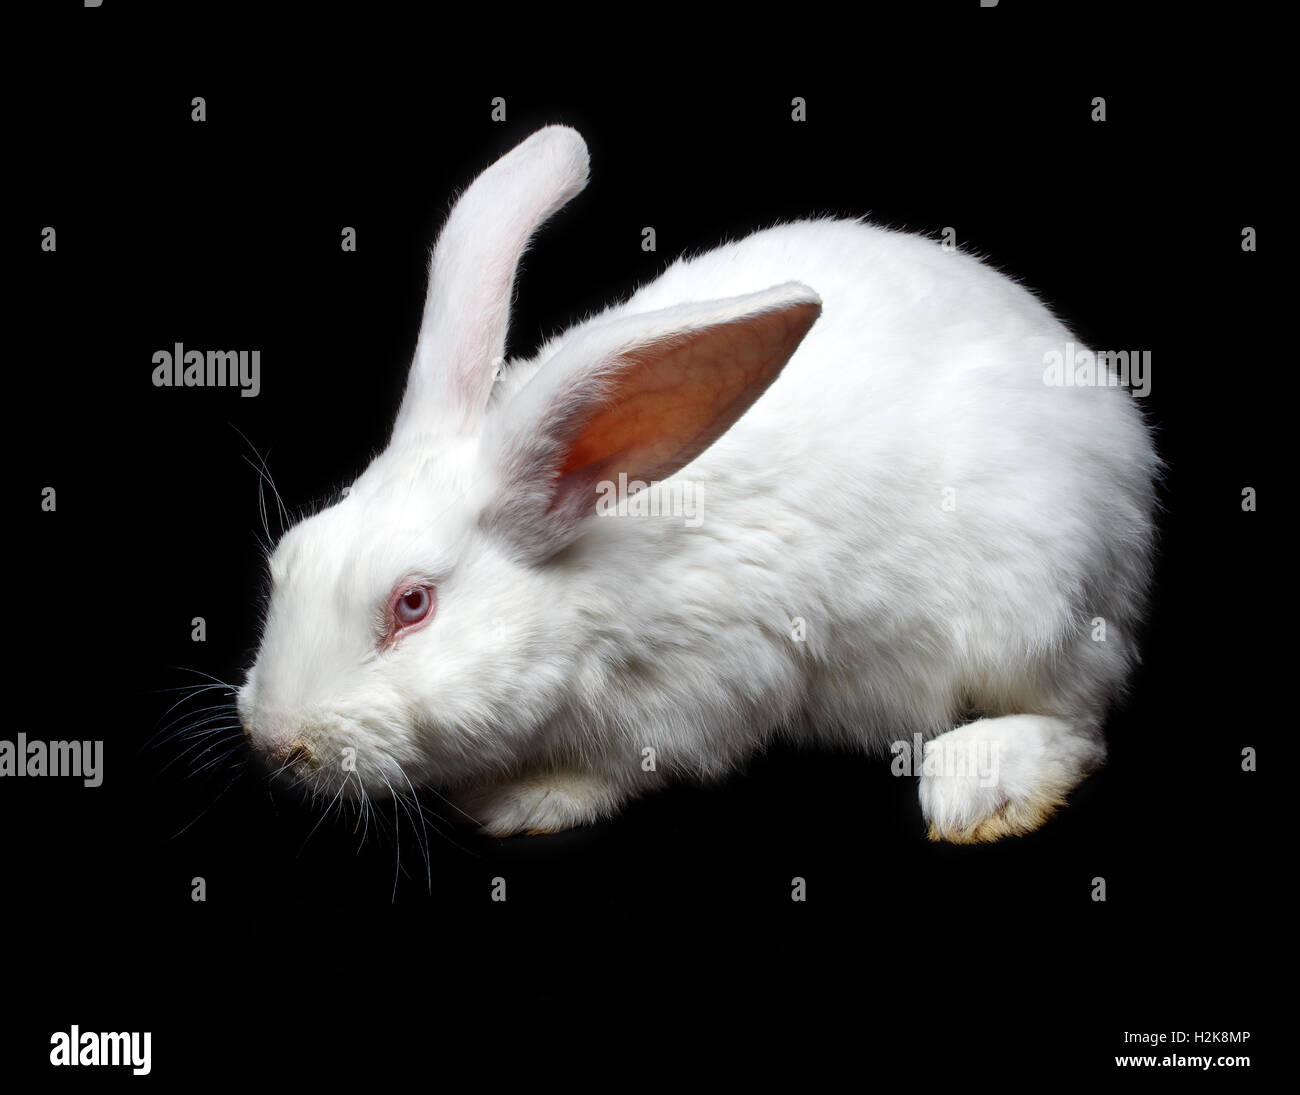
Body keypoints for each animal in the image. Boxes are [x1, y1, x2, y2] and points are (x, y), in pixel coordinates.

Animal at [237, 125, 1158, 843]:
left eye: (412, 604)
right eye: (287, 558)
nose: (277, 743)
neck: (582, 566)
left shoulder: (715, 681)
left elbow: (630, 763)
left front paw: (526, 797)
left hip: (1035, 598)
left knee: (1079, 720)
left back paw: (979, 785)